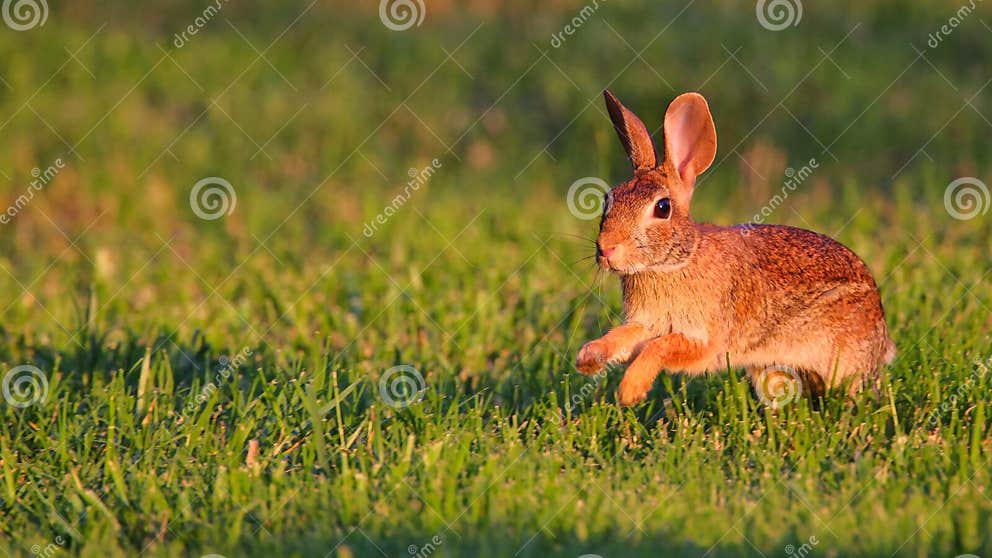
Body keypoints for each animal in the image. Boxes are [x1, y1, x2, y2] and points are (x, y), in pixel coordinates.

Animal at [576, 89, 895, 407]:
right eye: (608, 198)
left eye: (662, 208)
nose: (607, 249)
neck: (675, 261)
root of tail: (881, 334)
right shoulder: (647, 323)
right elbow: (624, 337)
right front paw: (588, 358)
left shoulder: (704, 338)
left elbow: (661, 347)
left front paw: (630, 389)